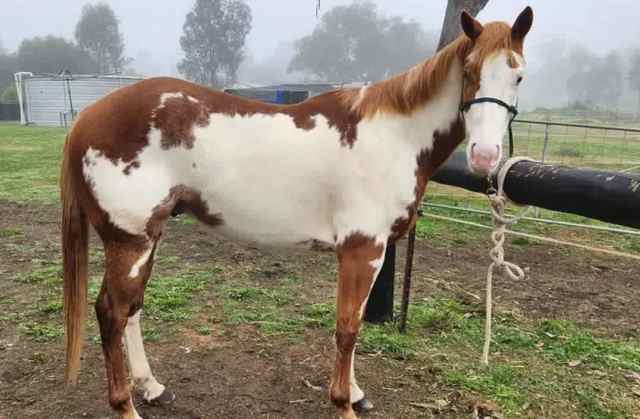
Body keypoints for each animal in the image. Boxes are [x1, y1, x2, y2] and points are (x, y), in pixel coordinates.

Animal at [60, 8, 532, 419]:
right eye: (469, 71)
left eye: (519, 76)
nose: (485, 155)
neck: (393, 136)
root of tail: (87, 116)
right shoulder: (362, 250)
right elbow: (347, 327)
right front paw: (343, 403)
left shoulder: (373, 252)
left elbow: (354, 324)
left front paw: (355, 393)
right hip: (131, 241)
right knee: (111, 313)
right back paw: (125, 406)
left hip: (148, 238)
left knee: (132, 310)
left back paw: (152, 387)